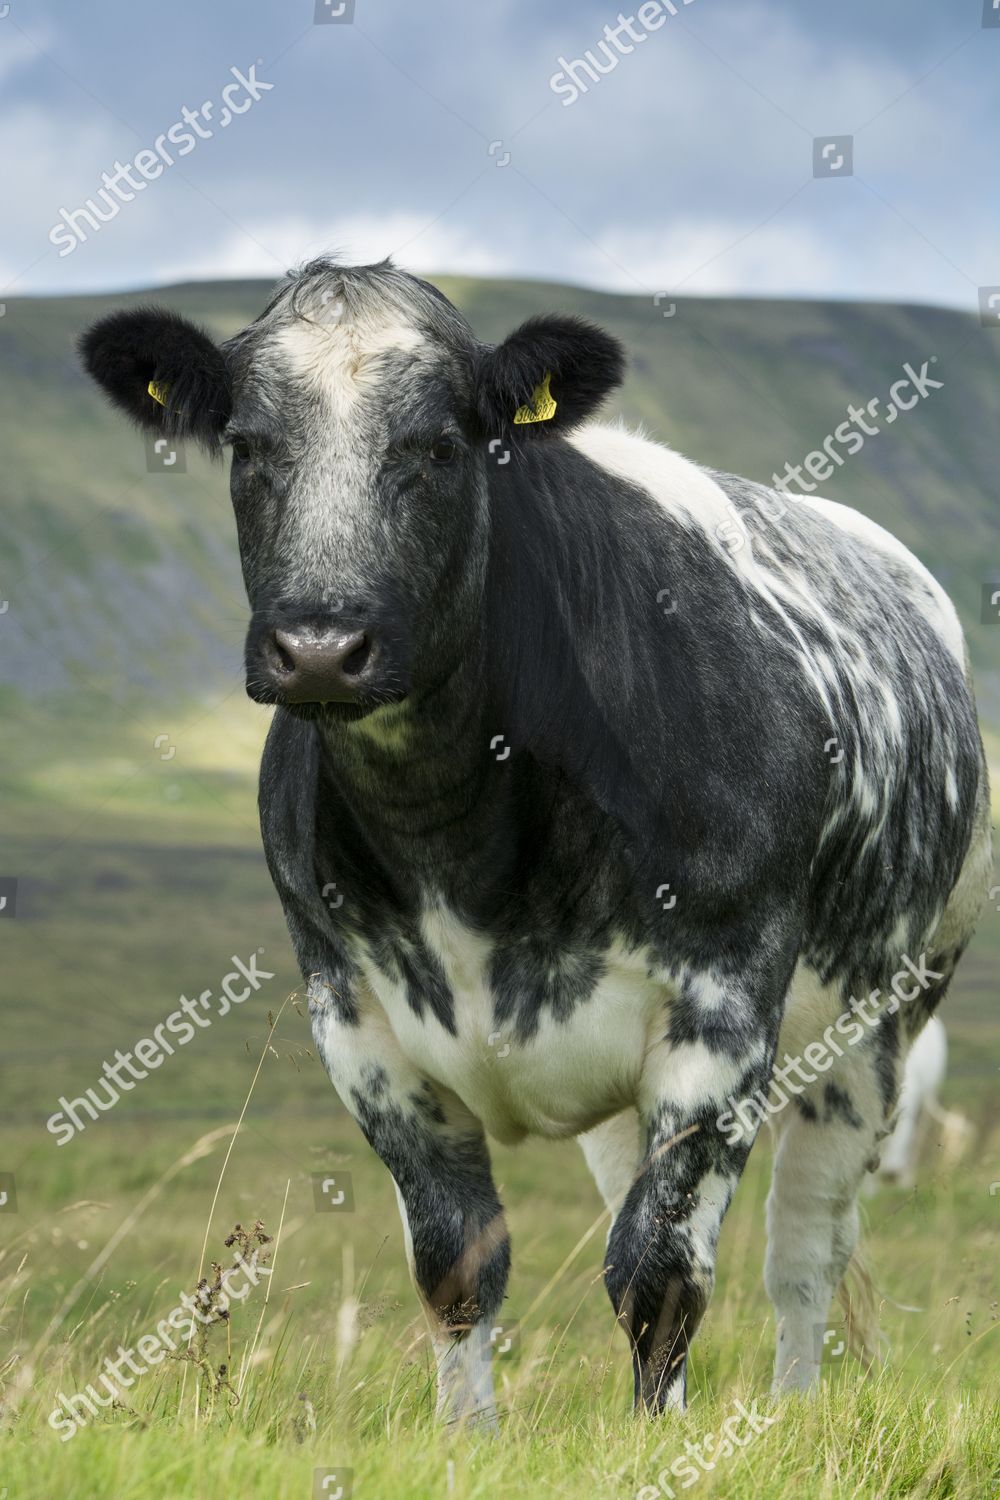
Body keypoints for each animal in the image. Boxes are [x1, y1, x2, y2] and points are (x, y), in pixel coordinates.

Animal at [79, 257, 991, 1426]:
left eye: (441, 445)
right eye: (246, 445)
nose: (320, 648)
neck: (456, 840)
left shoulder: (726, 1004)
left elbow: (659, 1269)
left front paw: (657, 1444)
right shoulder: (355, 1019)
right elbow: (458, 1264)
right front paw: (467, 1437)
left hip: (885, 1019)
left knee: (806, 1245)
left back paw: (787, 1408)